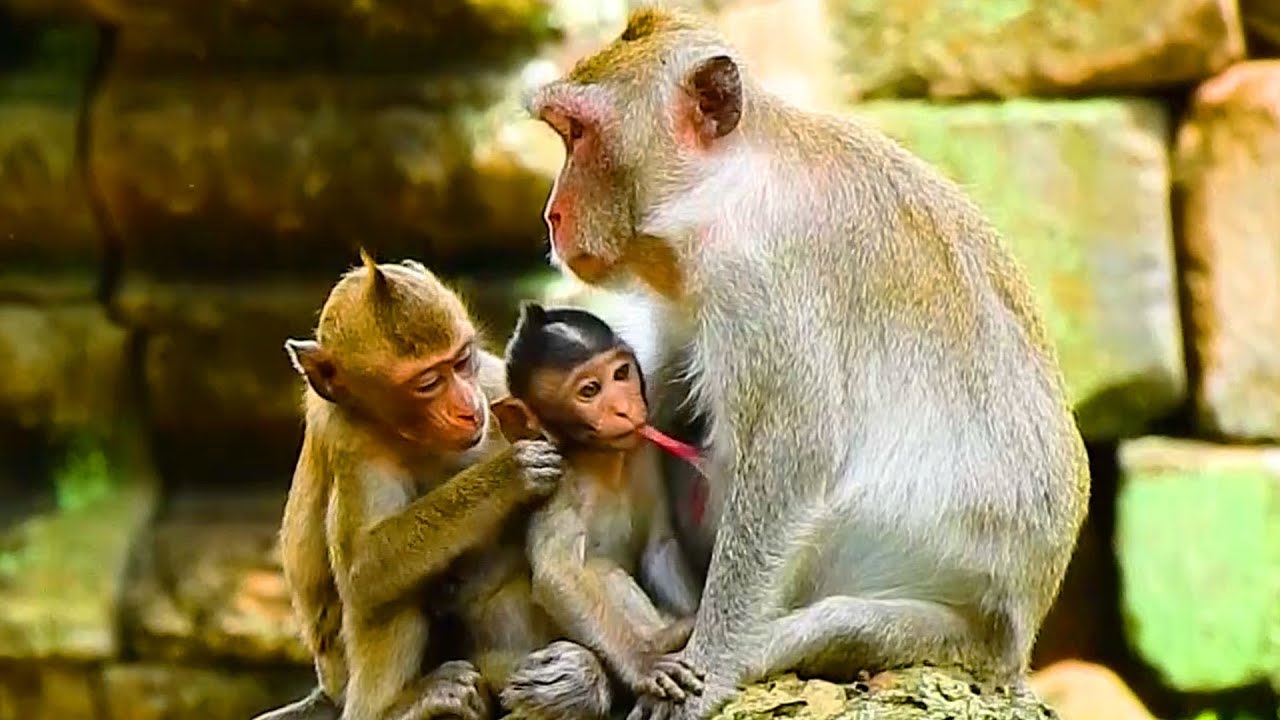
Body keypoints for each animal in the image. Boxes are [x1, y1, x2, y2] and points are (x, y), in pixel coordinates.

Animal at [256, 251, 566, 720]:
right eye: (427, 383)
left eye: (462, 360)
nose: (466, 408)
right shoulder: (350, 440)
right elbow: (362, 568)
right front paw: (509, 474)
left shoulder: (491, 382)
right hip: (343, 677)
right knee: (385, 592)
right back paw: (400, 706)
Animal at [489, 303, 705, 718]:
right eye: (589, 390)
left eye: (620, 374)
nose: (623, 409)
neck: (603, 463)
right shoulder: (560, 483)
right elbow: (559, 573)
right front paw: (644, 661)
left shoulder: (642, 454)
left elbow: (660, 546)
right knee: (601, 569)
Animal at [523, 8, 1092, 720]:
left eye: (579, 134)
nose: (553, 214)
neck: (735, 182)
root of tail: (1016, 647)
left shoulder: (760, 279)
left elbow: (791, 463)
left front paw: (704, 670)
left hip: (952, 629)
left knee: (849, 625)